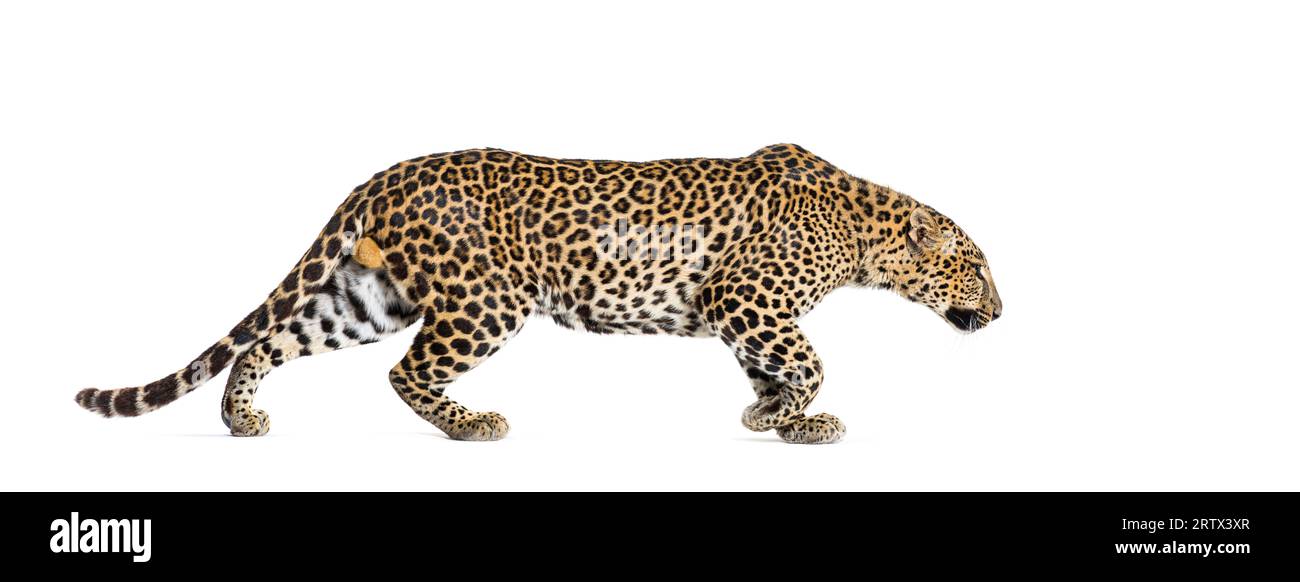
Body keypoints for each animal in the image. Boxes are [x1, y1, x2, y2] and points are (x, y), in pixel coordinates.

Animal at [75, 143, 1002, 444]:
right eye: (979, 269)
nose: (999, 313)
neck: (863, 234)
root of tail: (387, 173)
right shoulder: (747, 301)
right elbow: (809, 362)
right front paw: (795, 420)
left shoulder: (746, 319)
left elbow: (774, 369)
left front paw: (770, 418)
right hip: (484, 302)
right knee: (407, 373)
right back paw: (472, 426)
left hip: (368, 295)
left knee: (274, 340)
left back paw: (242, 419)